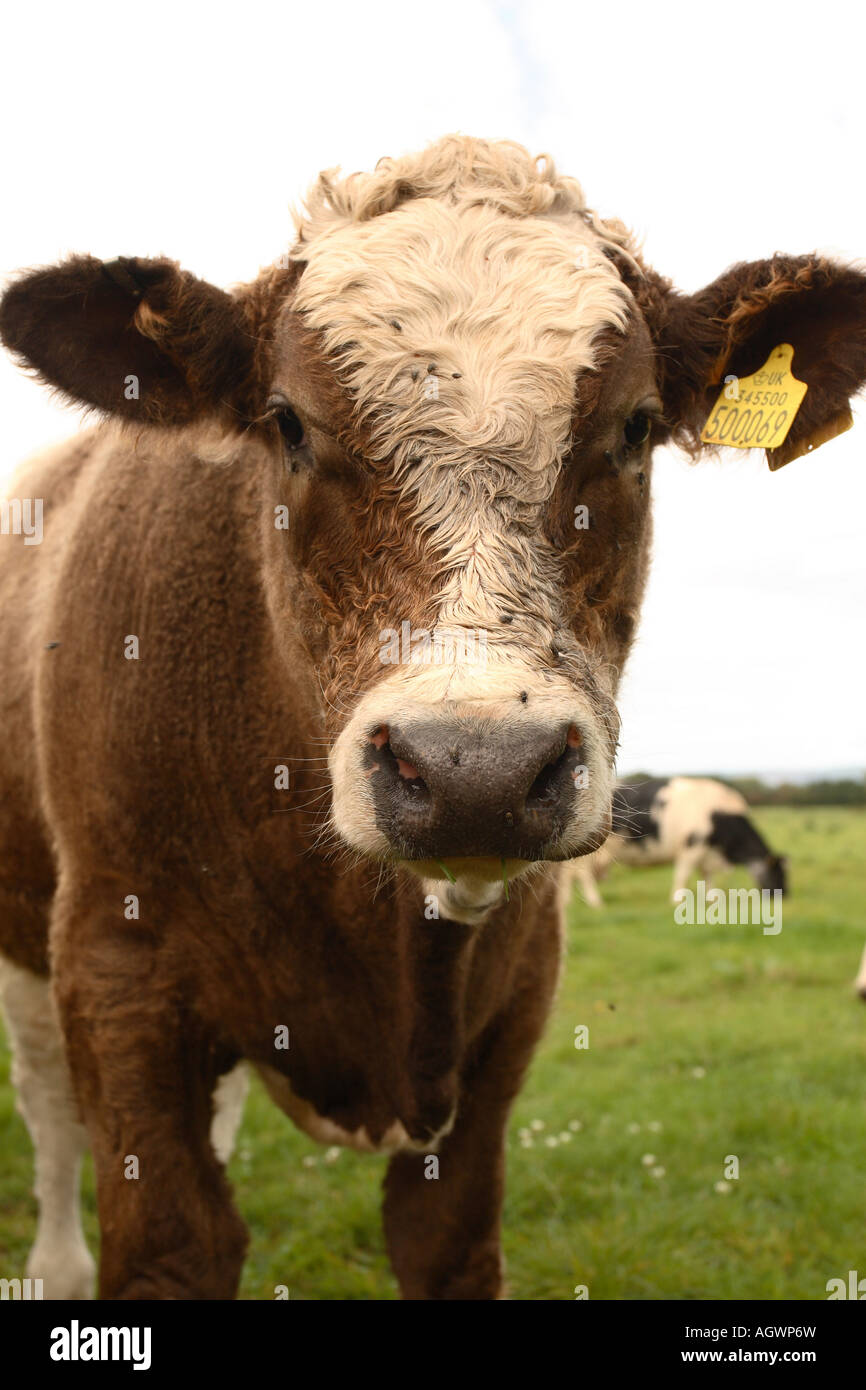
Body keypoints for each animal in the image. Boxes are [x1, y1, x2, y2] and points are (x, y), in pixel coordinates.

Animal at [563, 776, 788, 908]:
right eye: (778, 873)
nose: (785, 896)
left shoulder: (706, 852)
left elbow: (707, 876)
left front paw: (712, 899)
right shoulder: (692, 846)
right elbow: (683, 875)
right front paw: (677, 900)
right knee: (582, 876)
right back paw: (595, 902)